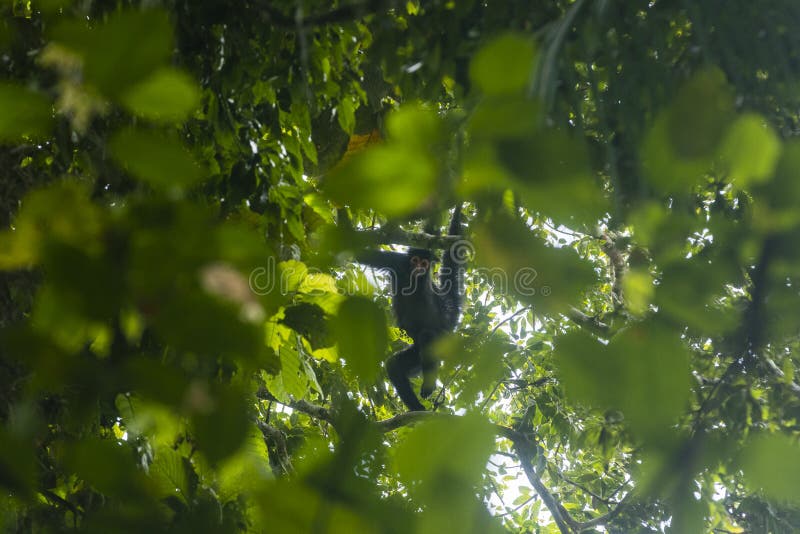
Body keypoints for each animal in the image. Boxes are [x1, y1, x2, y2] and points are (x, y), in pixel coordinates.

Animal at [357, 204, 464, 411]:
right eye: (415, 261)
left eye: (424, 263)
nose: (420, 268)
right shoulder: (396, 262)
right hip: (416, 355)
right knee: (394, 365)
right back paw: (417, 409)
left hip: (442, 339)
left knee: (427, 335)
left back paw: (428, 386)